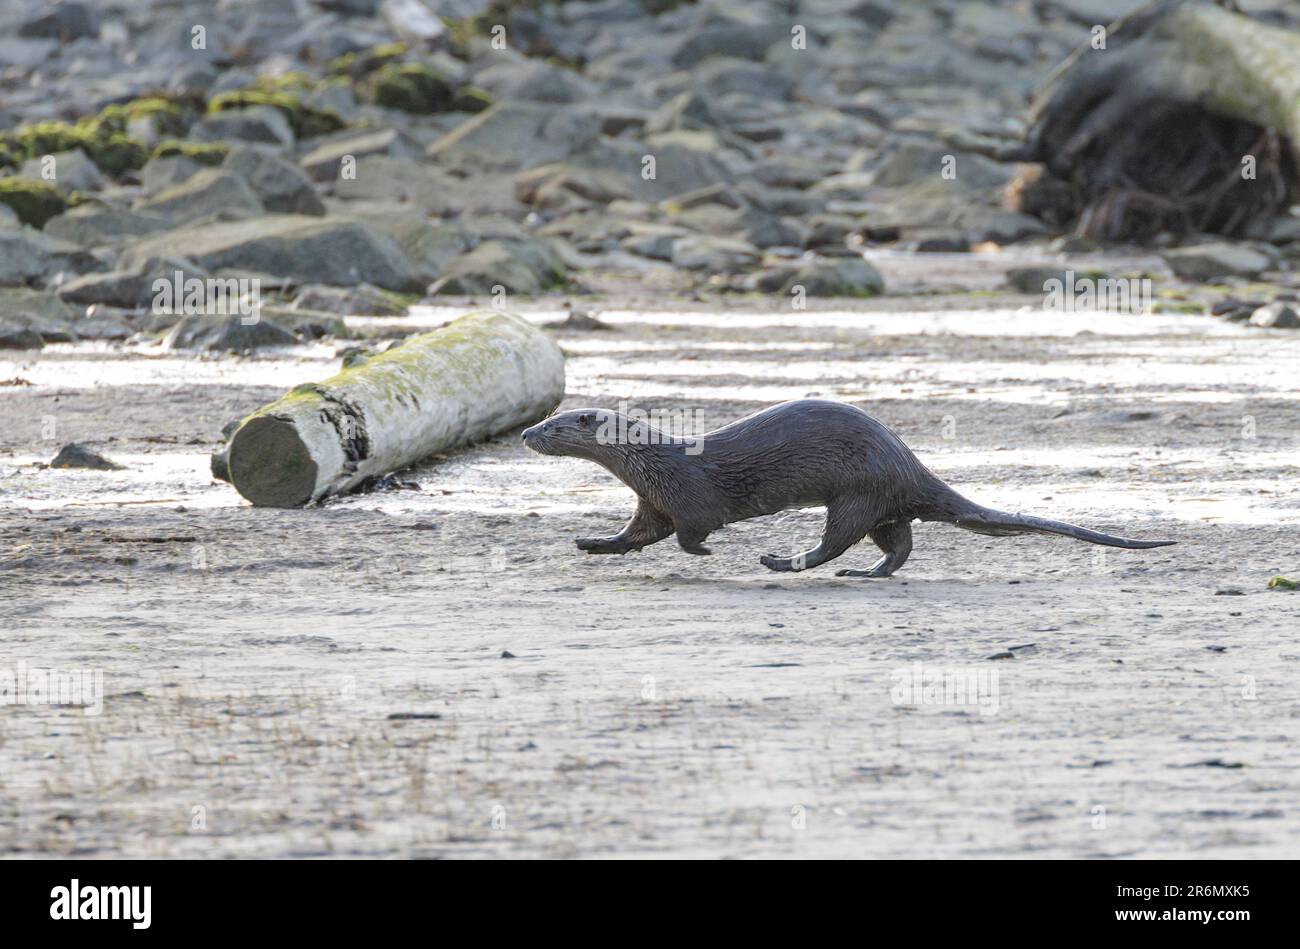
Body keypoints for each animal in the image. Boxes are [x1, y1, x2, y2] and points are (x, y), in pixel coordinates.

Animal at [521, 400, 1174, 576]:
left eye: (555, 426)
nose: (527, 432)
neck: (654, 462)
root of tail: (910, 464)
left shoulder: (685, 494)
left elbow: (692, 531)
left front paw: (706, 552)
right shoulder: (652, 502)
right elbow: (636, 536)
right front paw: (594, 543)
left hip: (859, 491)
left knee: (837, 540)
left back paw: (784, 560)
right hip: (882, 503)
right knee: (899, 544)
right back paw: (868, 572)